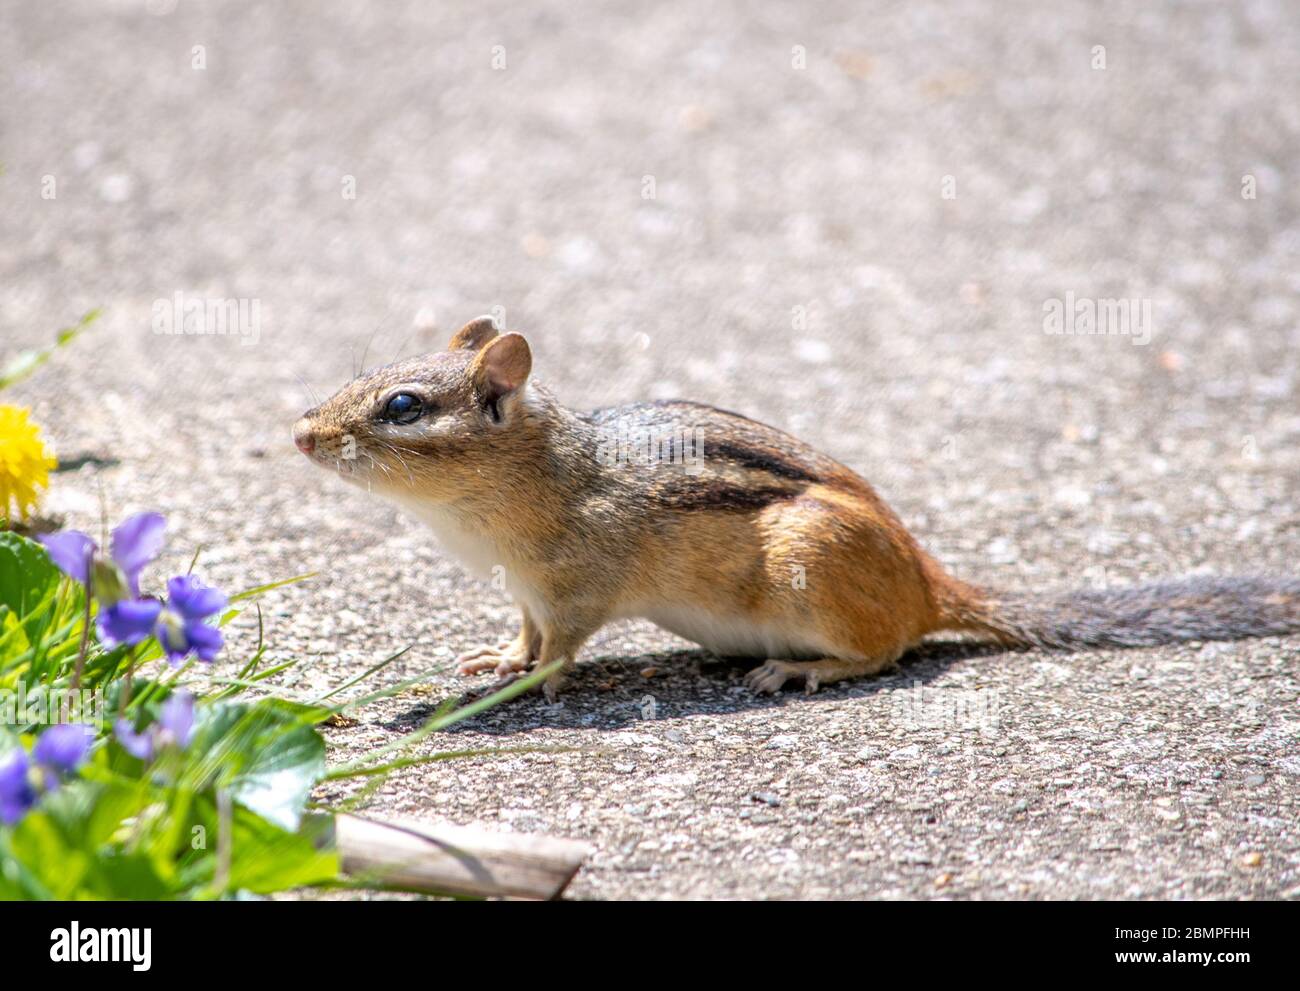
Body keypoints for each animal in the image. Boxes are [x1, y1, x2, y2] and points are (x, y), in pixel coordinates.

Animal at [293, 316, 1300, 700]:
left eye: (402, 407)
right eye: (376, 379)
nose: (301, 433)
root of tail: (927, 581)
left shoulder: (577, 589)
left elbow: (564, 652)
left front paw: (521, 686)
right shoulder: (525, 589)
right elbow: (525, 632)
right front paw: (496, 660)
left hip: (811, 565)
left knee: (887, 649)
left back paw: (799, 669)